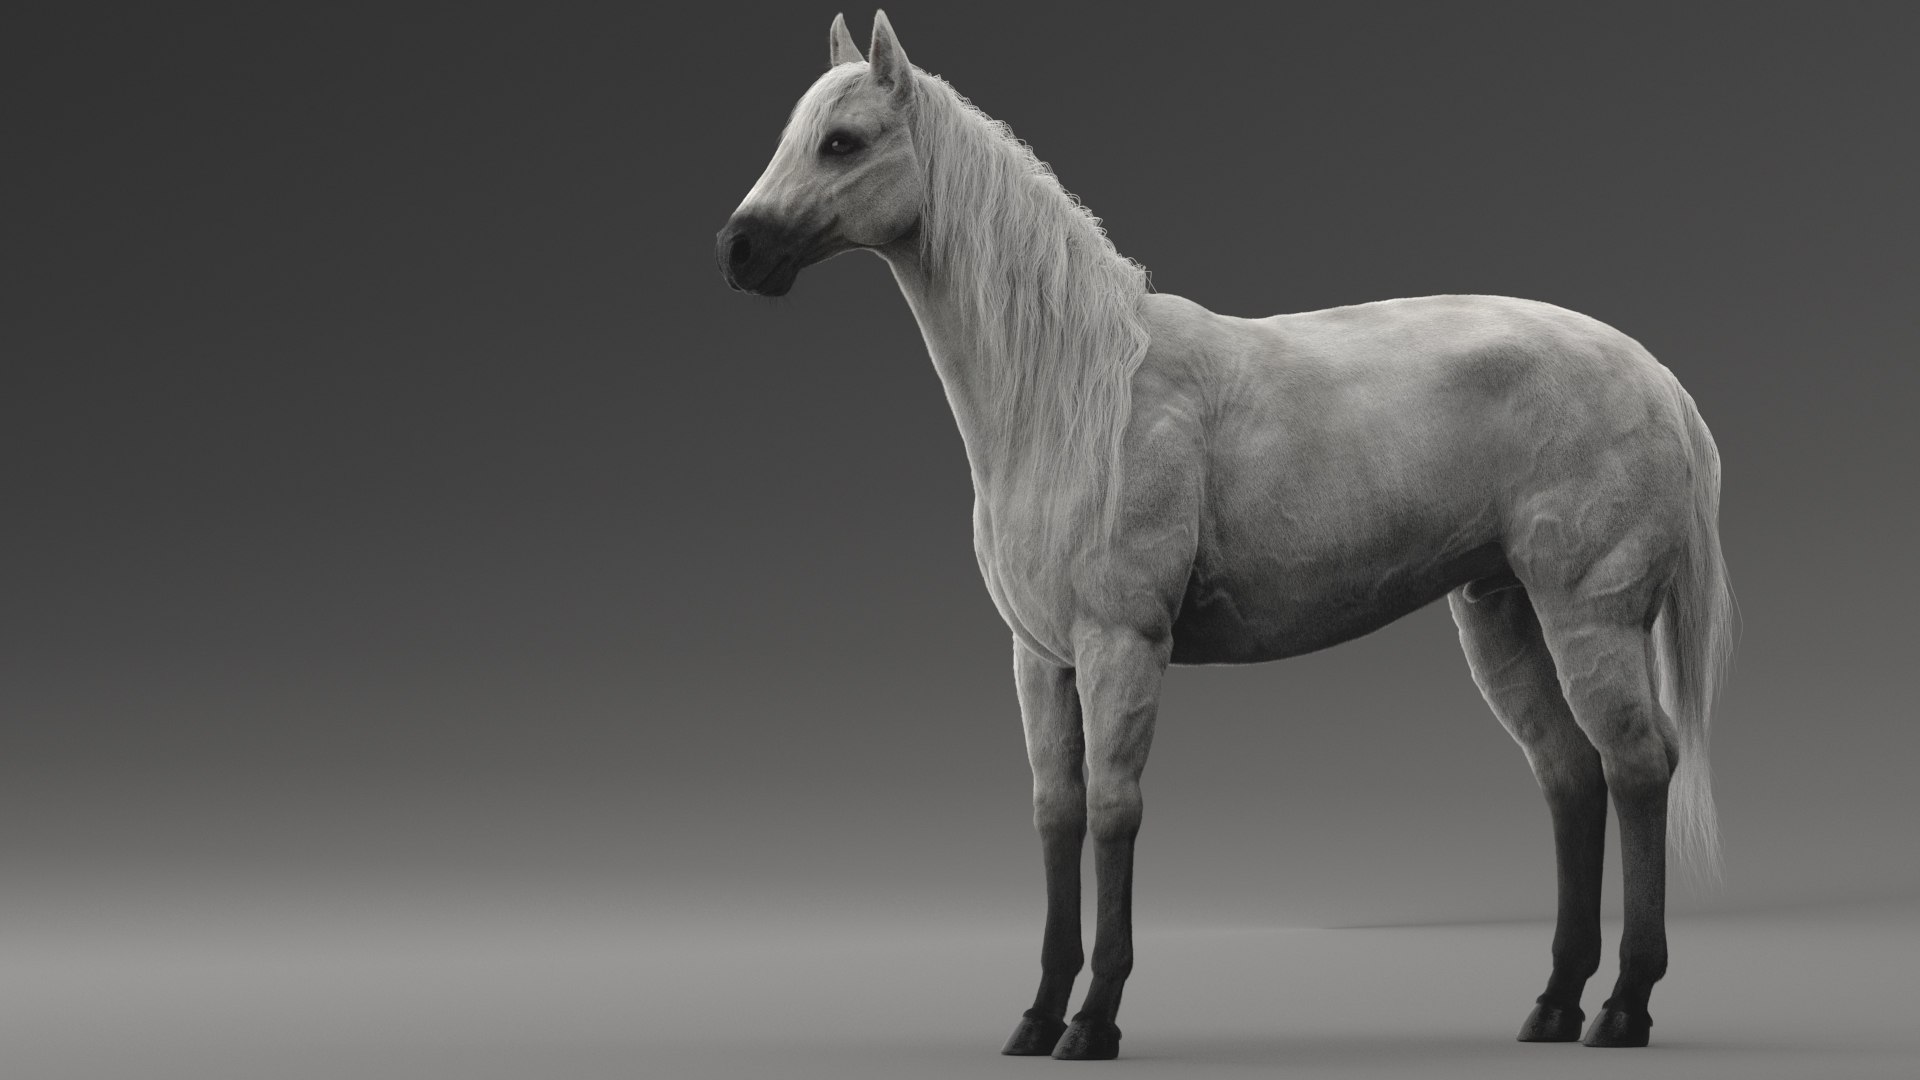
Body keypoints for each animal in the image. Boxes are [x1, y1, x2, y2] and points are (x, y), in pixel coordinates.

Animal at [715, 11, 1732, 1060]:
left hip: (1589, 619)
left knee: (1636, 764)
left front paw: (1095, 1019)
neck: (1078, 390)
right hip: (1501, 615)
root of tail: (1656, 378)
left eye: (844, 141)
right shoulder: (1040, 658)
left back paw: (1624, 1005)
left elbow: (1113, 813)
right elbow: (1056, 817)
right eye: (796, 136)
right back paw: (1557, 1001)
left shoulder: (1122, 645)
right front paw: (1037, 1015)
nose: (740, 250)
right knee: (1569, 775)